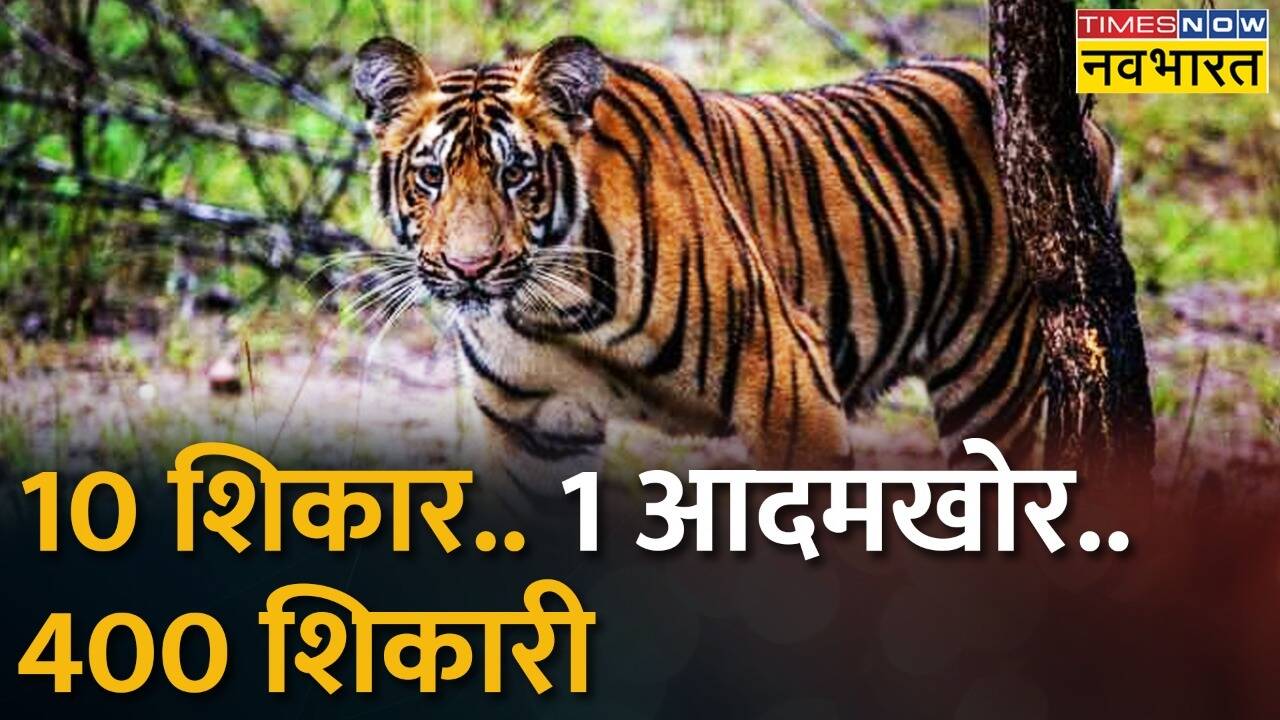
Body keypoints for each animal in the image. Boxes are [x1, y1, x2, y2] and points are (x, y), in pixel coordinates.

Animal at [351, 35, 1118, 492]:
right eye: (430, 177)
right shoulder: (533, 427)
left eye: (516, 175)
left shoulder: (787, 380)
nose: (470, 269)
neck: (551, 309)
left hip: (997, 378)